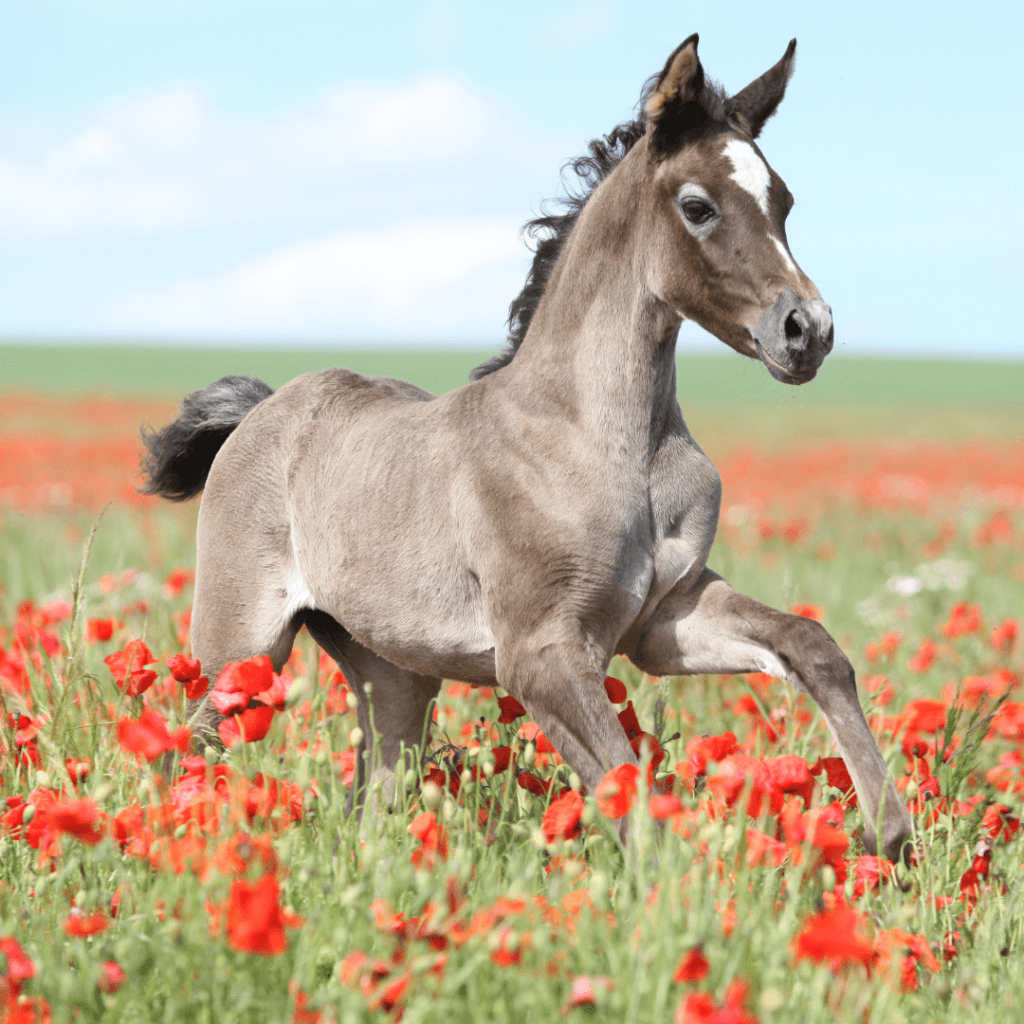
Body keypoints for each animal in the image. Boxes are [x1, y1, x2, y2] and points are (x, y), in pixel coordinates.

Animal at [141, 35, 913, 863]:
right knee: (189, 749)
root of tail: (261, 411)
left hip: (395, 674)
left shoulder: (664, 621)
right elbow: (627, 789)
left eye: (785, 202)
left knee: (371, 796)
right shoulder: (540, 654)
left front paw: (890, 836)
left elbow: (810, 644)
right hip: (238, 653)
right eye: (698, 207)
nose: (808, 330)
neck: (601, 441)